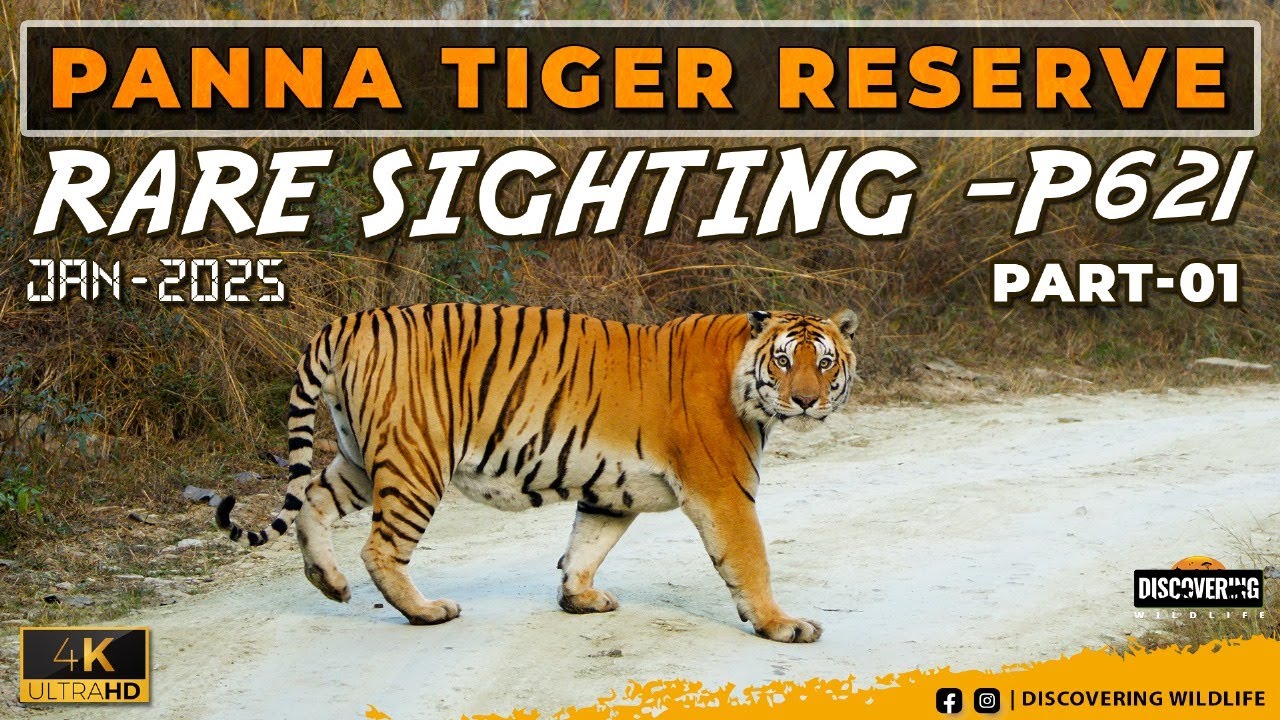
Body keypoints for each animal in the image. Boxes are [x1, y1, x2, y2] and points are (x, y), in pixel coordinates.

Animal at [217, 302, 859, 643]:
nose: (806, 401)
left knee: (313, 505)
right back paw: (426, 611)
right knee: (380, 548)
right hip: (416, 460)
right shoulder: (725, 491)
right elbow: (751, 562)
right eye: (785, 361)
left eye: (825, 363)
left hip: (359, 458)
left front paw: (579, 599)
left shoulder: (612, 492)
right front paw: (782, 625)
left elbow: (585, 546)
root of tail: (349, 321)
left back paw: (329, 582)